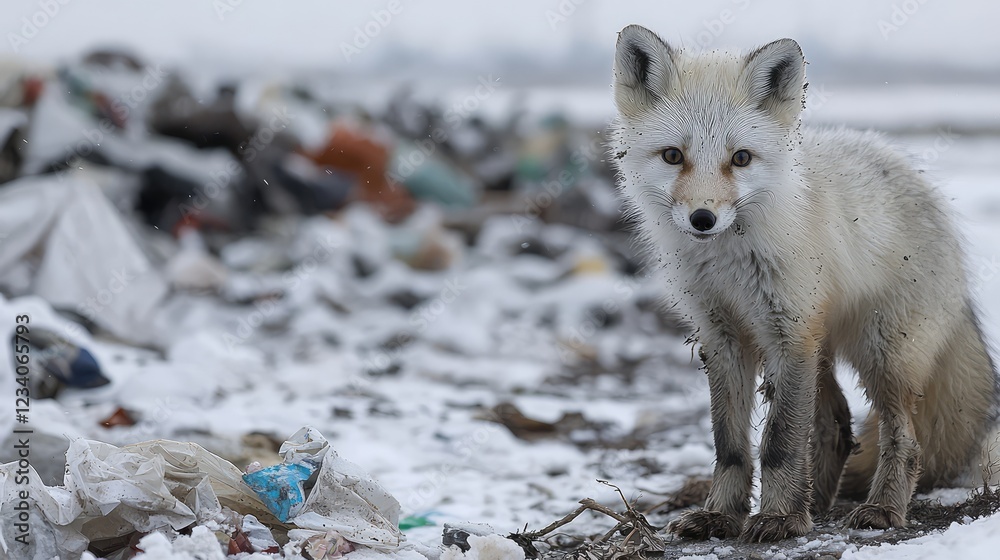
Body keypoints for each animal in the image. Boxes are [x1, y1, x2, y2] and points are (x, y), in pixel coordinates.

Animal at [609, 24, 1000, 542]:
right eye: (673, 156)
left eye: (740, 158)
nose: (703, 218)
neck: (729, 264)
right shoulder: (723, 335)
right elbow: (731, 446)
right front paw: (724, 515)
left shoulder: (789, 333)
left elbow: (779, 443)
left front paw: (778, 518)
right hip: (826, 350)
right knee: (836, 426)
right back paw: (818, 505)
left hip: (884, 353)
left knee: (904, 438)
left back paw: (880, 509)